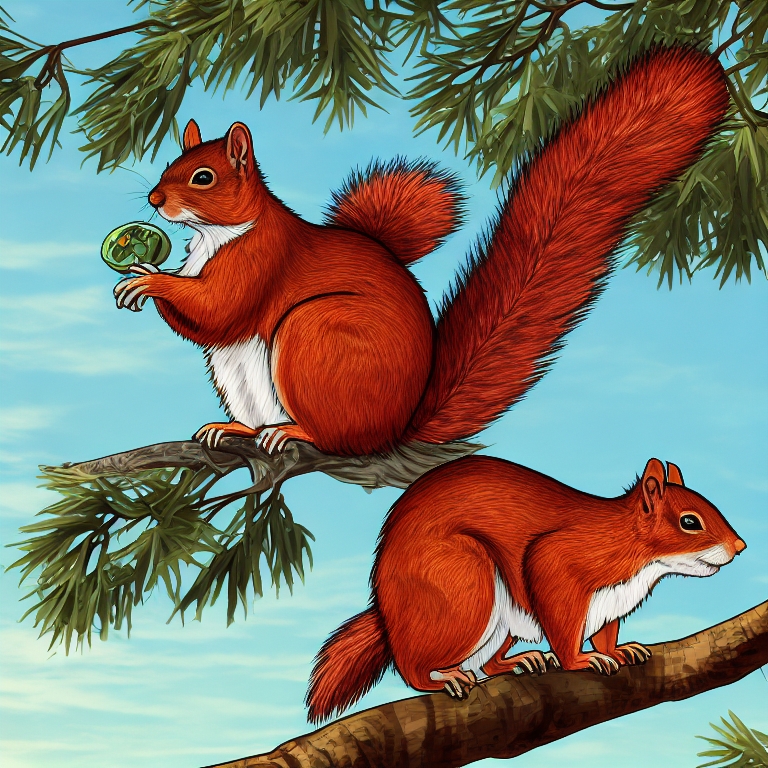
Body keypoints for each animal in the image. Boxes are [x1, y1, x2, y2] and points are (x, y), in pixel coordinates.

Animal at [114, 45, 728, 456]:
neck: (216, 237)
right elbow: (204, 323)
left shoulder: (263, 262)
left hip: (315, 336)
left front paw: (147, 279)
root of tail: (398, 427)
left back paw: (294, 431)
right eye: (170, 163)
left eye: (203, 177)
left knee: (338, 436)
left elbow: (218, 309)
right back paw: (235, 428)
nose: (155, 198)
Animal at [306, 456, 747, 722]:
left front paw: (621, 650)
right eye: (689, 521)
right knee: (410, 664)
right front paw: (581, 660)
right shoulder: (557, 564)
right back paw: (442, 678)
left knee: (485, 664)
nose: (741, 546)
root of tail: (386, 609)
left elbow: (606, 633)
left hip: (504, 623)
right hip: (464, 588)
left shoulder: (610, 604)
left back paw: (521, 661)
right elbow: (565, 630)